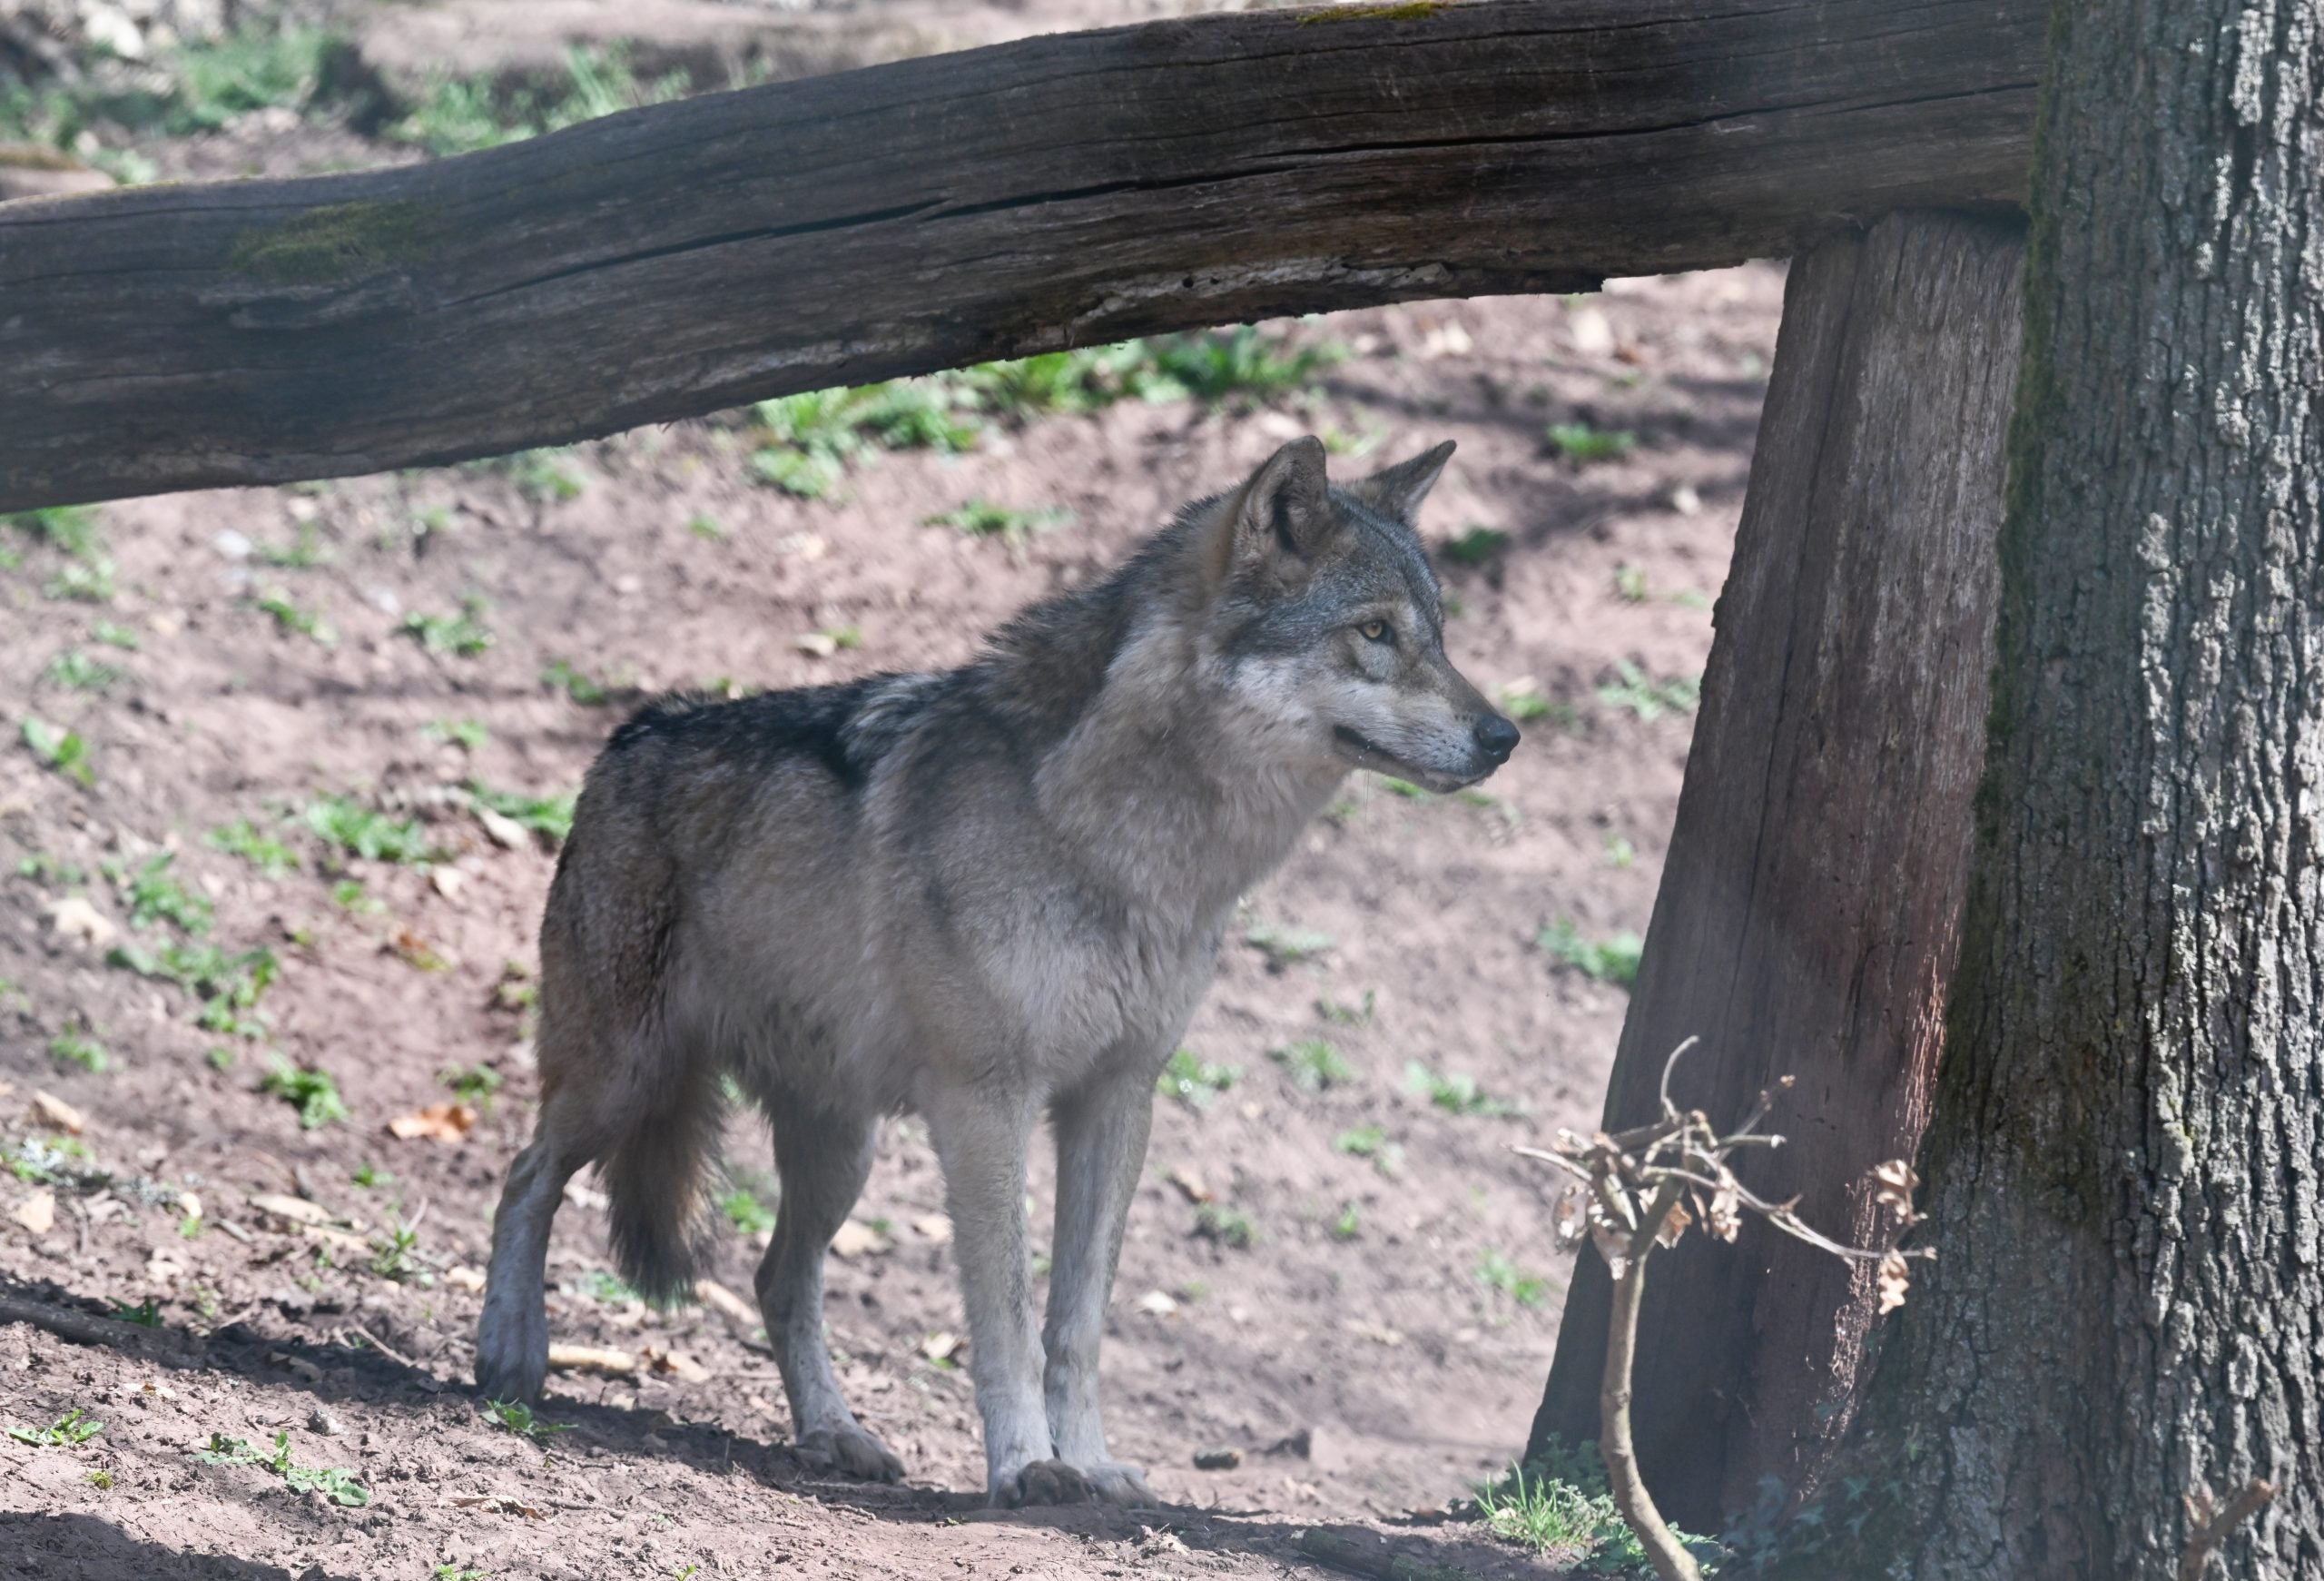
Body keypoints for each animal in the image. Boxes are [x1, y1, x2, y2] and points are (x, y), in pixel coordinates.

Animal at [473, 435, 1520, 1506]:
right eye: (1374, 632)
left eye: (1438, 636)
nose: (1504, 737)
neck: (1123, 849)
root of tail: (630, 732)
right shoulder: (987, 1100)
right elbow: (1008, 1309)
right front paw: (1026, 1463)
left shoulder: (1117, 1097)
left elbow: (1079, 1318)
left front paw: (1089, 1460)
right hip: (624, 1080)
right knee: (525, 1176)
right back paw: (511, 1353)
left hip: (839, 1151)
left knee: (775, 1277)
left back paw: (836, 1434)